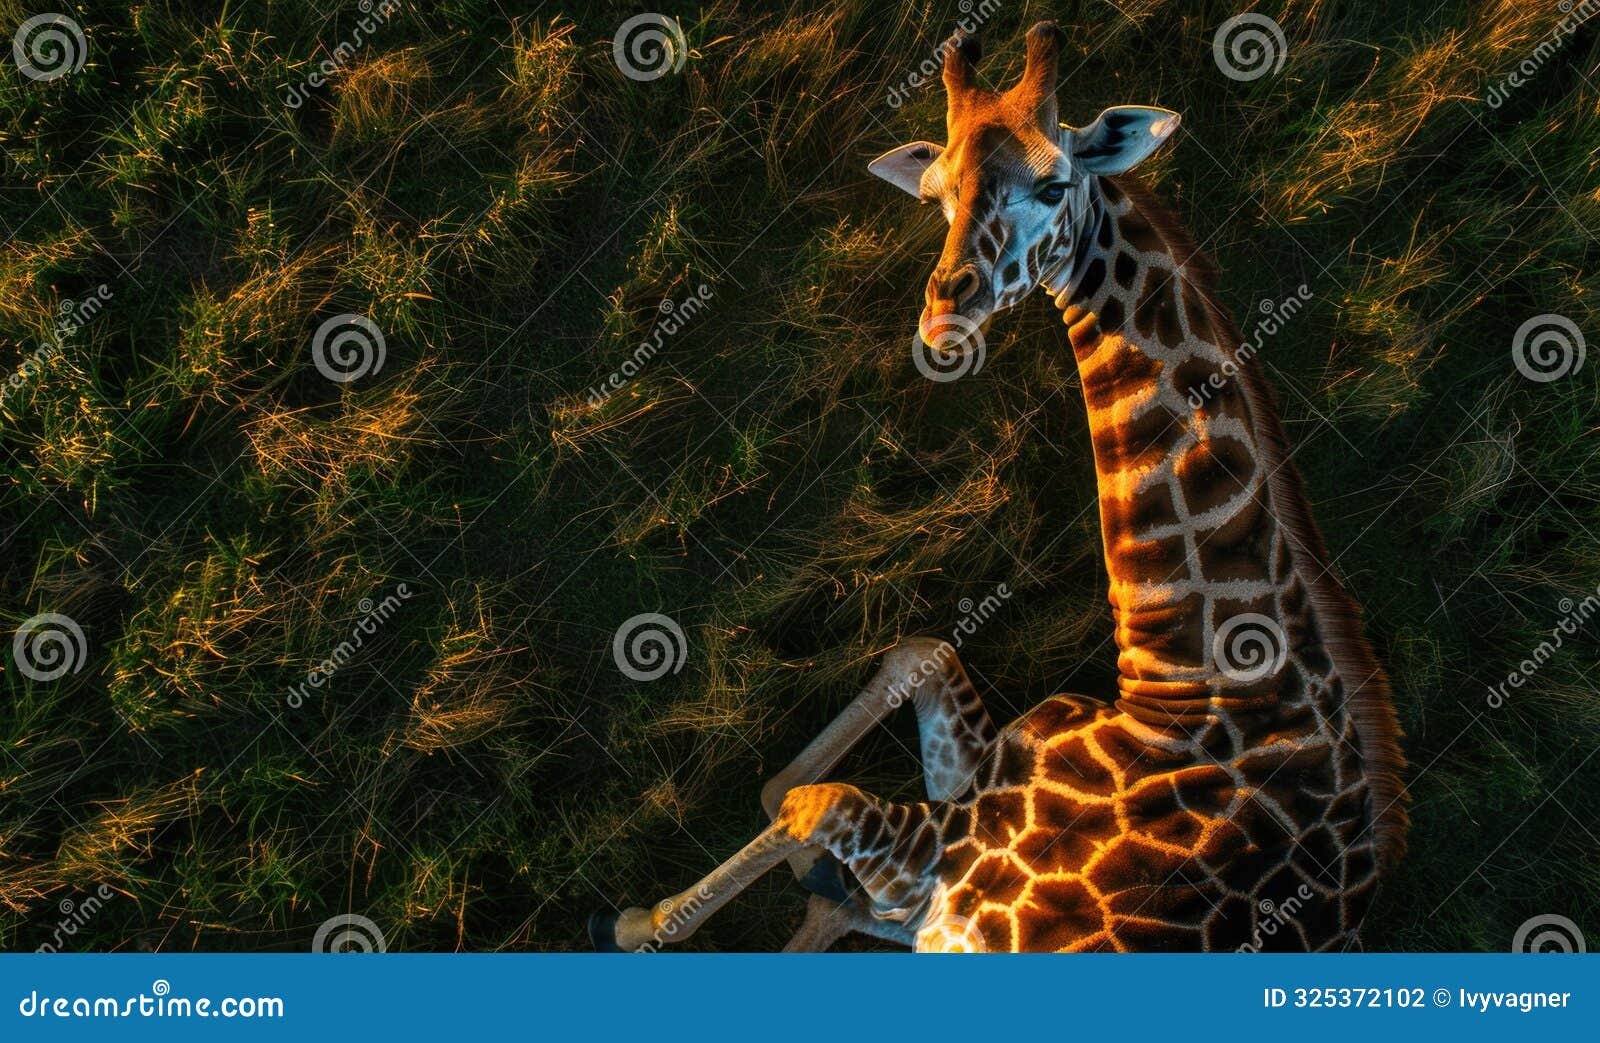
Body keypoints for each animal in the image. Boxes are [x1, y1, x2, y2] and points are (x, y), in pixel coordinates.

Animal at [589, 21, 1407, 953]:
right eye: (935, 193)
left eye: (1055, 183)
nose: (946, 309)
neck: (1203, 684)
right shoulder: (959, 817)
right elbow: (915, 655)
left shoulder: (961, 858)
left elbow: (810, 803)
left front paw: (640, 919)